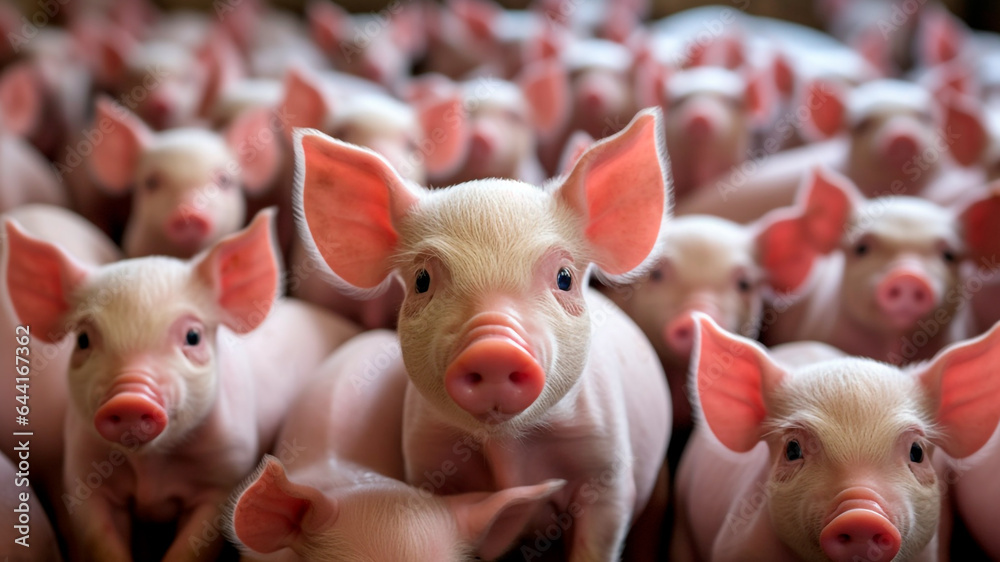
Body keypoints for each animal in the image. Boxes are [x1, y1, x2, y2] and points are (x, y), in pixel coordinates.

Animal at [5, 209, 359, 561]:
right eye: (82, 340)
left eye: (193, 336)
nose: (130, 399)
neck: (150, 469)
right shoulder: (84, 476)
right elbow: (101, 540)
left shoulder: (223, 479)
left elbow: (192, 546)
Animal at [295, 107, 672, 560]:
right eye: (422, 280)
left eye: (564, 278)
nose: (494, 348)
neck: (507, 448)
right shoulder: (428, 463)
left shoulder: (609, 471)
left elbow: (597, 539)